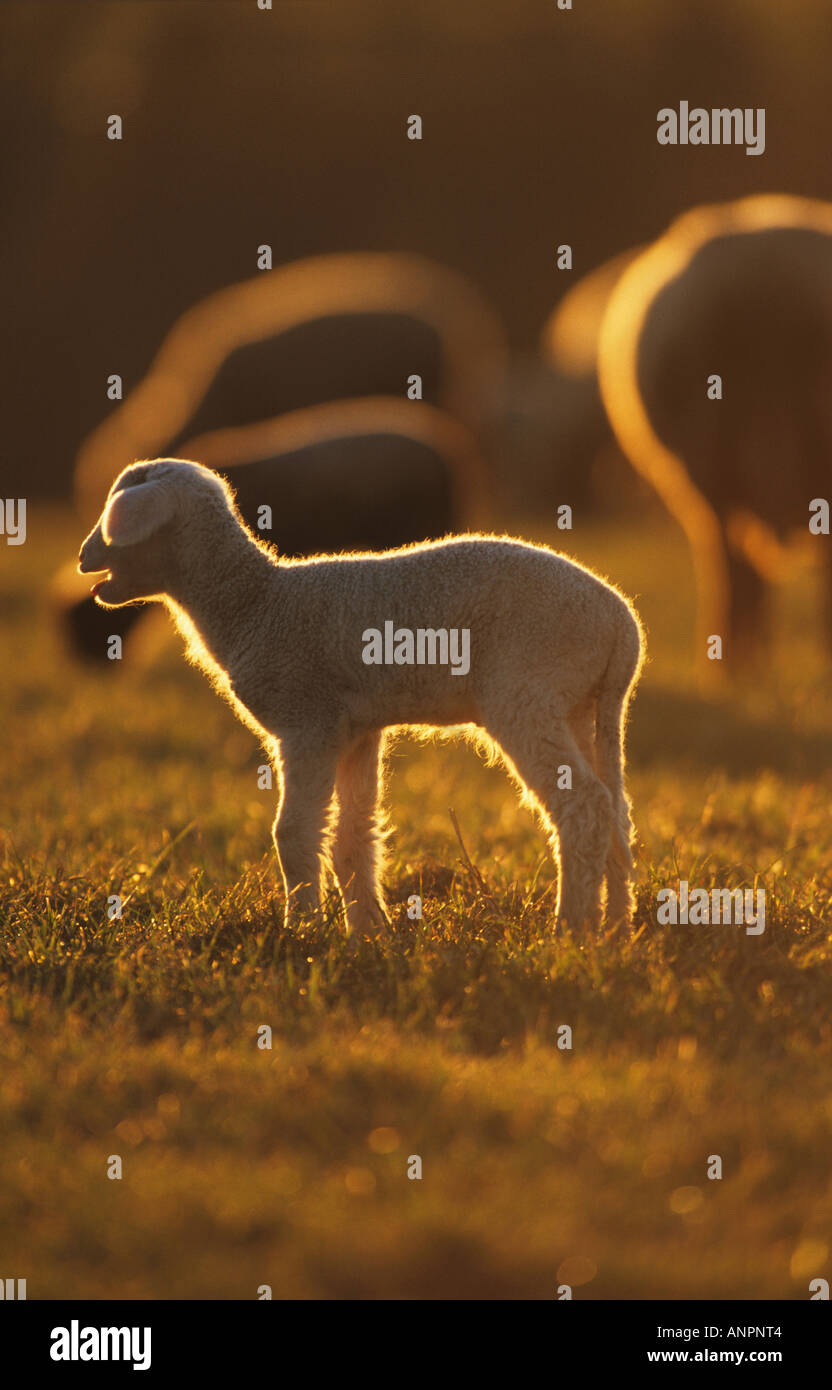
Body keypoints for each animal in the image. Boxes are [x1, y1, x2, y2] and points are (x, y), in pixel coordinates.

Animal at [78, 458, 644, 936]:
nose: (83, 557)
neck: (254, 602)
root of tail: (621, 623)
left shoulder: (307, 721)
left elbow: (294, 834)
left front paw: (302, 930)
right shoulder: (356, 730)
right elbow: (353, 837)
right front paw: (368, 933)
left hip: (525, 692)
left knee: (585, 806)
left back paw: (569, 930)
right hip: (582, 707)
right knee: (616, 812)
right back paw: (615, 927)